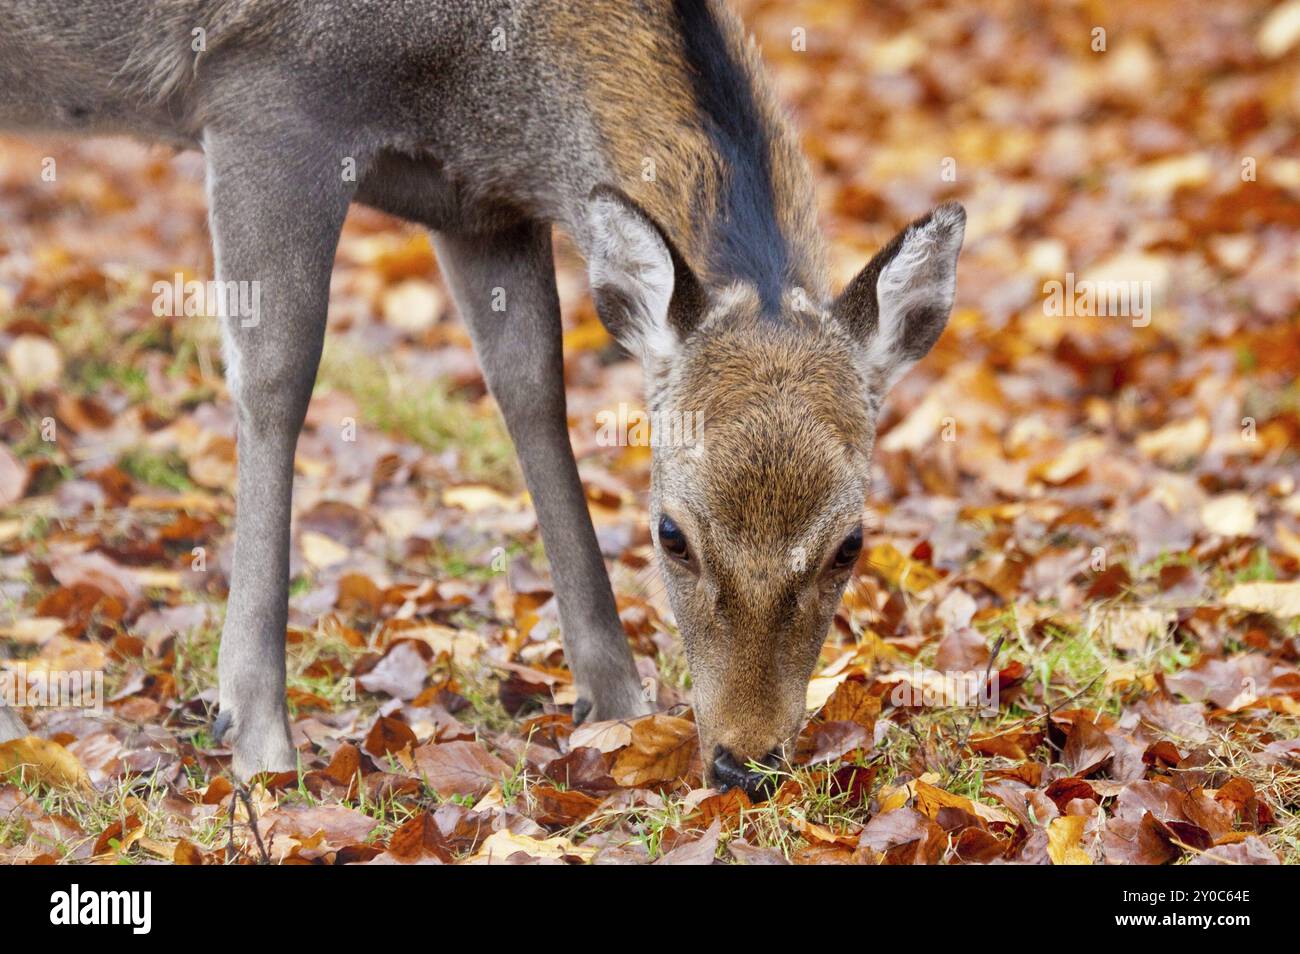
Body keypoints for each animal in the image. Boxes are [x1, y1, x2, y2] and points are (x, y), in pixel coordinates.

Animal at [0, 0, 964, 797]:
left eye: (850, 544)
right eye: (672, 535)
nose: (744, 763)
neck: (491, 100)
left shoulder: (477, 208)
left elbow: (532, 388)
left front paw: (616, 705)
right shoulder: (263, 93)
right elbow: (276, 378)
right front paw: (258, 739)